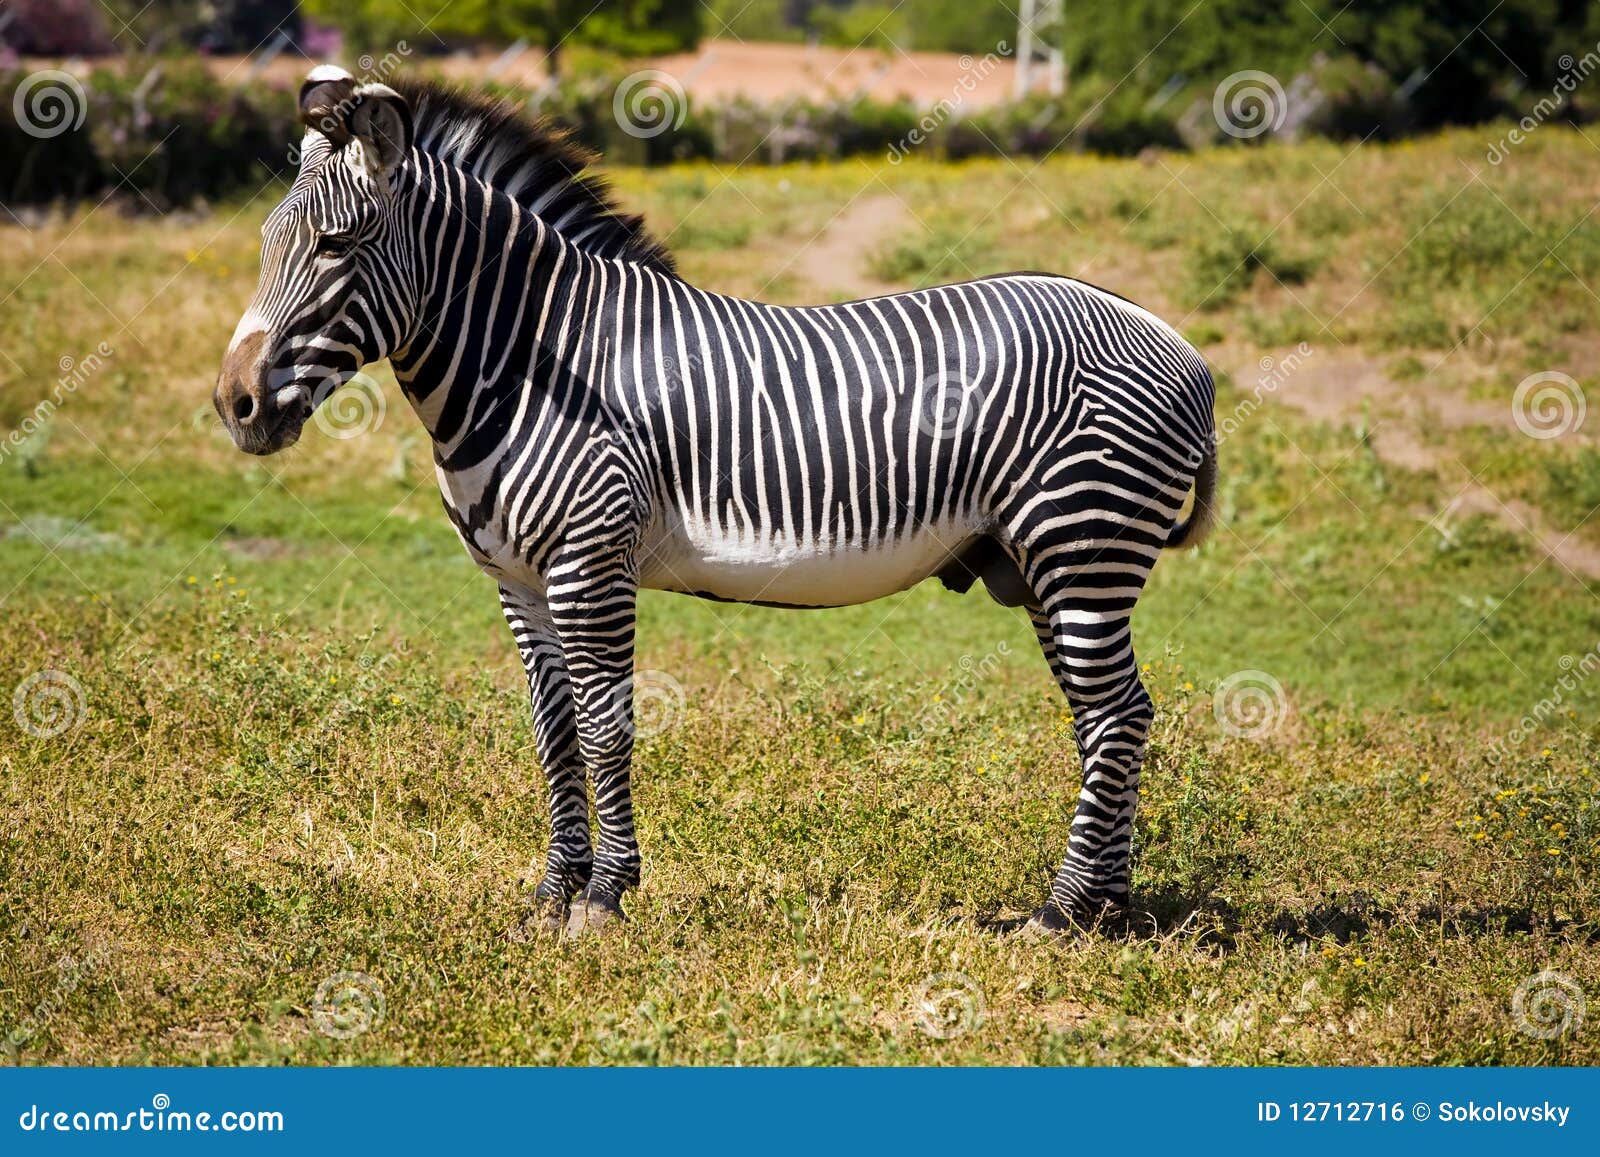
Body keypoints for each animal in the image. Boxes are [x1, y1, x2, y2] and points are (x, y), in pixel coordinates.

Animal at [214, 68, 1218, 936]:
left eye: (338, 245)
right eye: (263, 246)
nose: (236, 405)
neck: (533, 363)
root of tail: (1169, 335)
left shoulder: (590, 562)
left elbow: (606, 724)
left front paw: (605, 897)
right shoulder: (518, 581)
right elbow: (553, 733)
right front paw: (552, 891)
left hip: (1082, 545)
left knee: (1117, 714)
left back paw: (1062, 912)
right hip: (1053, 560)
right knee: (1110, 716)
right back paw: (1106, 908)